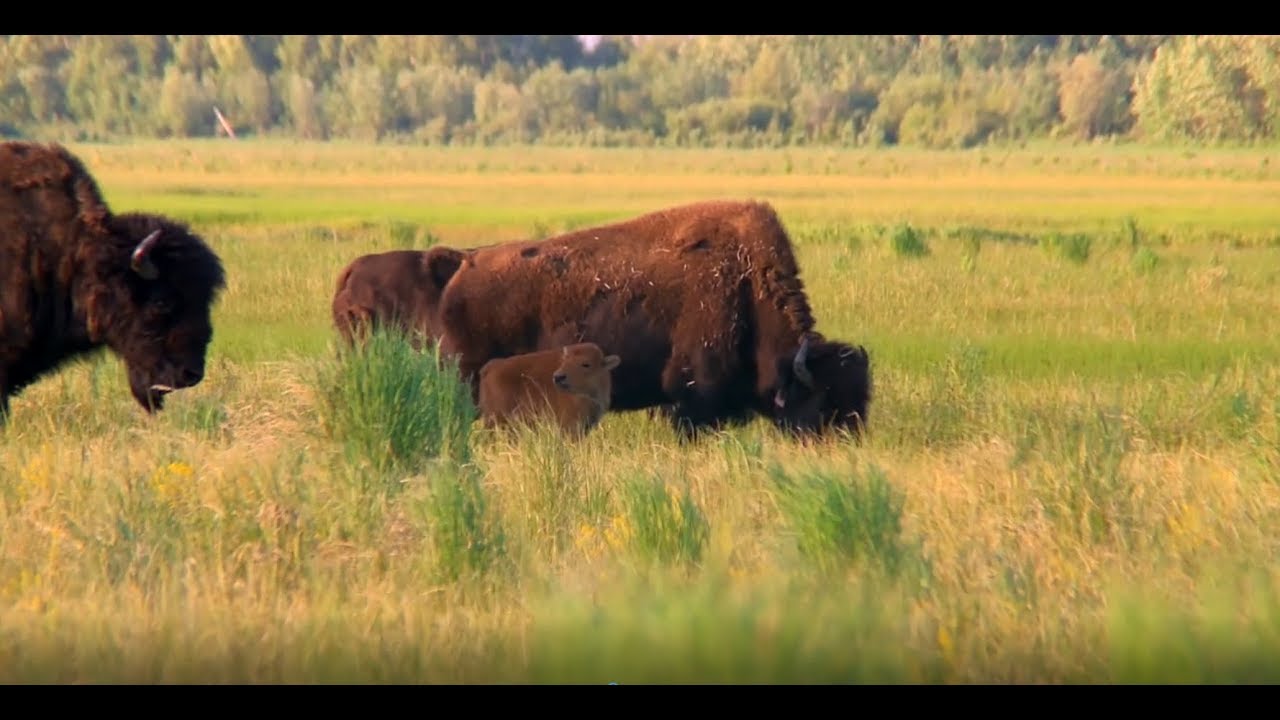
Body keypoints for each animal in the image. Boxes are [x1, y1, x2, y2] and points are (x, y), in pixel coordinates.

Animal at [477, 342, 621, 439]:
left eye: (586, 364)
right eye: (564, 361)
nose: (558, 377)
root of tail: (492, 366)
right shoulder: (569, 426)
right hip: (497, 419)